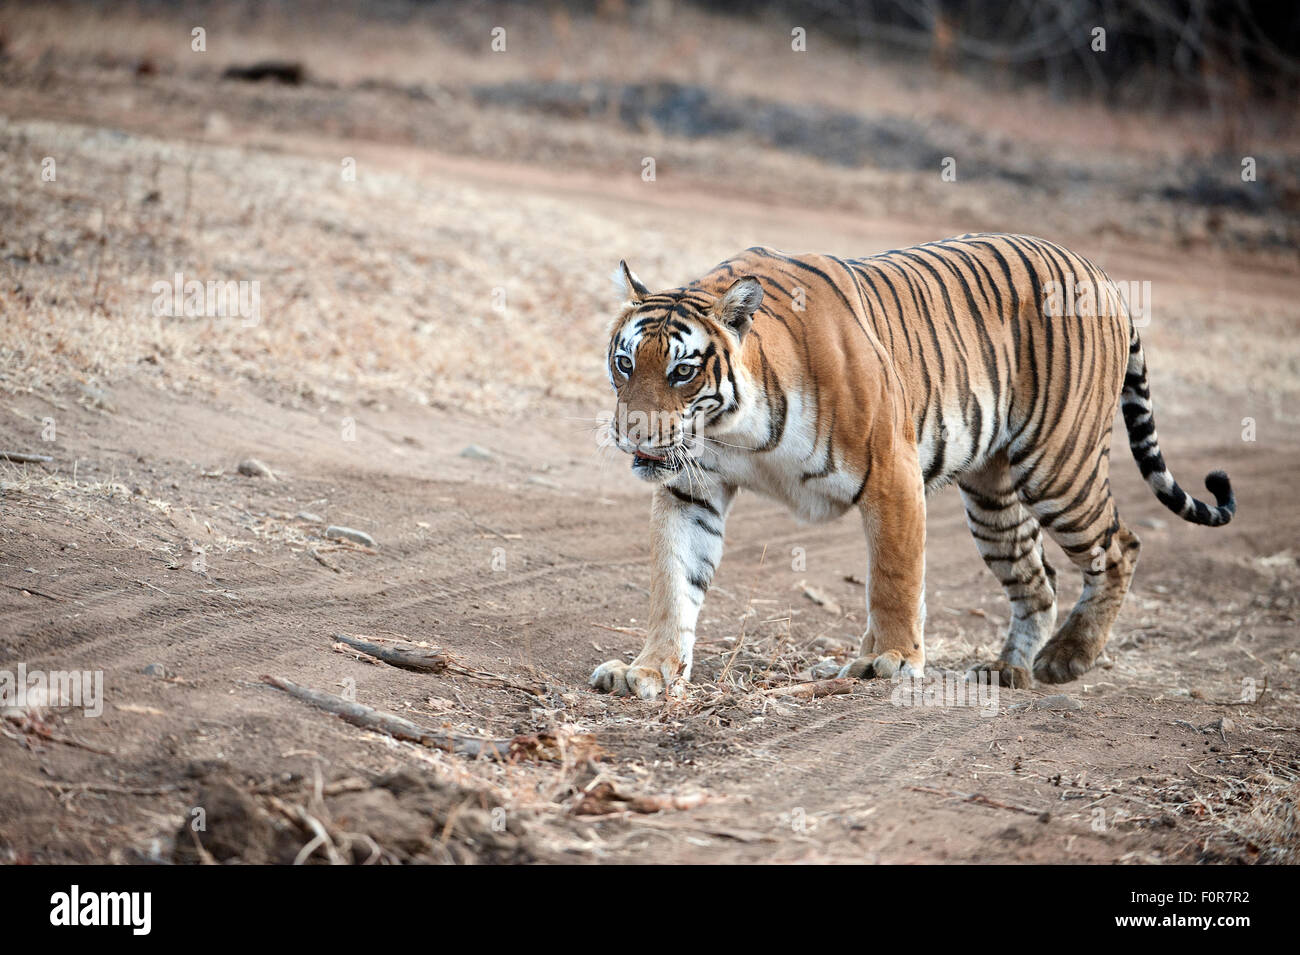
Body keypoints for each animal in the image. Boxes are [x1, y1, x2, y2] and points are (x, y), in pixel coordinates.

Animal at [589, 234, 1235, 700]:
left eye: (682, 371)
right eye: (625, 363)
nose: (632, 434)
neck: (737, 428)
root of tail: (1103, 276)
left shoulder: (890, 471)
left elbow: (895, 577)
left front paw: (893, 659)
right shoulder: (689, 489)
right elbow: (673, 582)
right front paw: (649, 670)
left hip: (1058, 467)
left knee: (1120, 546)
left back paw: (1067, 658)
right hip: (993, 500)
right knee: (1037, 580)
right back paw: (1008, 671)